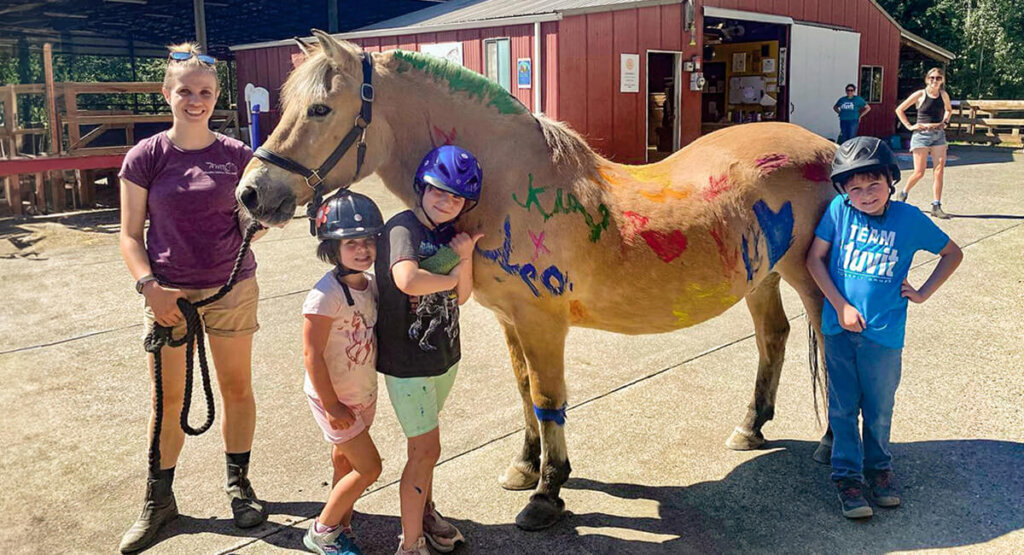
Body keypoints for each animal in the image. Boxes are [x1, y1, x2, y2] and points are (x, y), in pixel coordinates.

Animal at [237, 31, 836, 531]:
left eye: (320, 108)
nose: (252, 194)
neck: (506, 185)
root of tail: (826, 149)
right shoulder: (510, 321)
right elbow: (525, 392)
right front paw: (525, 468)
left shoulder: (542, 322)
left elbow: (549, 398)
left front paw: (548, 493)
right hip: (762, 276)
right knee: (773, 338)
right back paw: (751, 427)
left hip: (807, 278)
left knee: (833, 346)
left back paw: (832, 446)